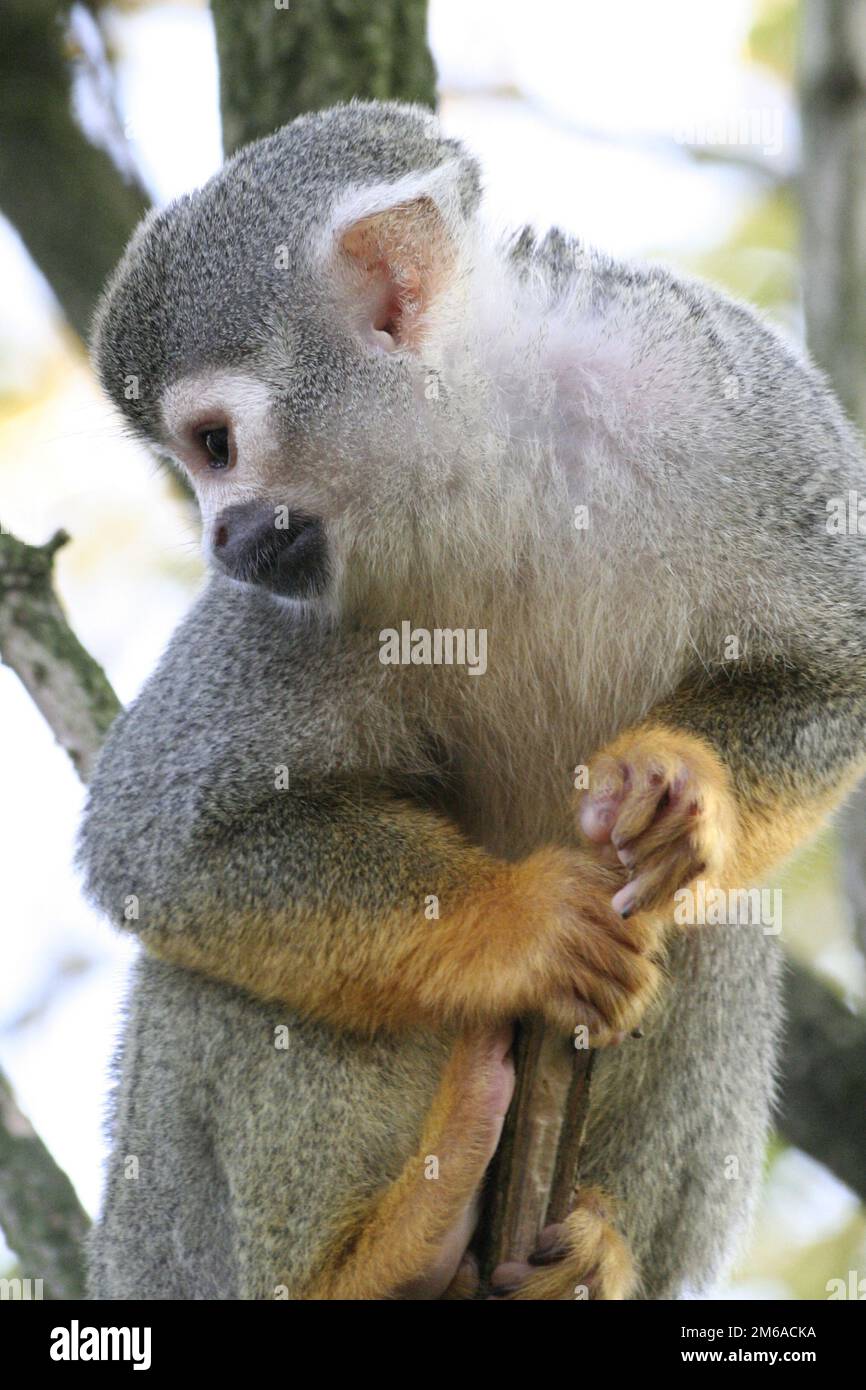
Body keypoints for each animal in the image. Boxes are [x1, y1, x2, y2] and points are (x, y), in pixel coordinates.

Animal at [78, 100, 866, 1300]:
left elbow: (834, 666)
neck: (487, 445)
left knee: (718, 924)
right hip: (166, 1251)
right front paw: (525, 923)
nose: (218, 538)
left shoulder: (728, 389)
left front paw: (687, 784)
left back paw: (584, 1260)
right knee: (216, 972)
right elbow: (160, 845)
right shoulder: (303, 589)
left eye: (213, 445)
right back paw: (385, 1251)